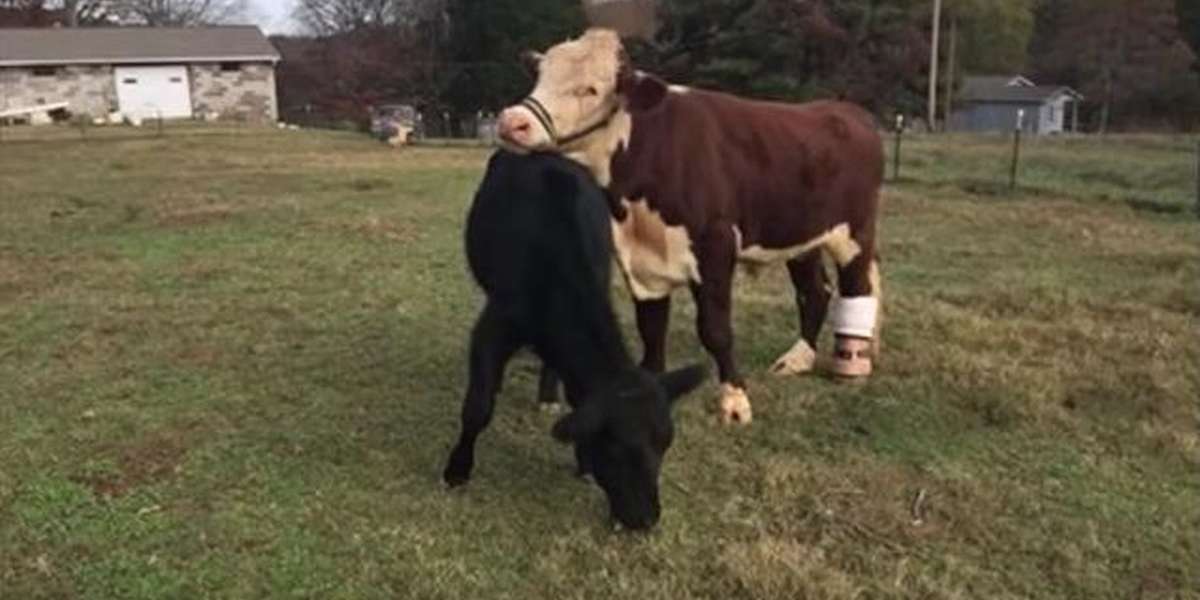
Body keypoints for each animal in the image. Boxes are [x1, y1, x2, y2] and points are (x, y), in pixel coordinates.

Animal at [444, 151, 705, 530]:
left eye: (665, 446)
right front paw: (457, 468)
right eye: (617, 450)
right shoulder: (494, 325)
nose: (646, 519)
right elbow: (477, 406)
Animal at [494, 28, 883, 422]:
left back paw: (850, 366)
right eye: (540, 76)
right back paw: (798, 359)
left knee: (857, 286)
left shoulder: (715, 244)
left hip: (854, 233)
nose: (513, 122)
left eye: (590, 89)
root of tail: (845, 110)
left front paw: (735, 400)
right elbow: (651, 328)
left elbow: (714, 328)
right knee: (815, 291)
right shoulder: (640, 260)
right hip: (799, 234)